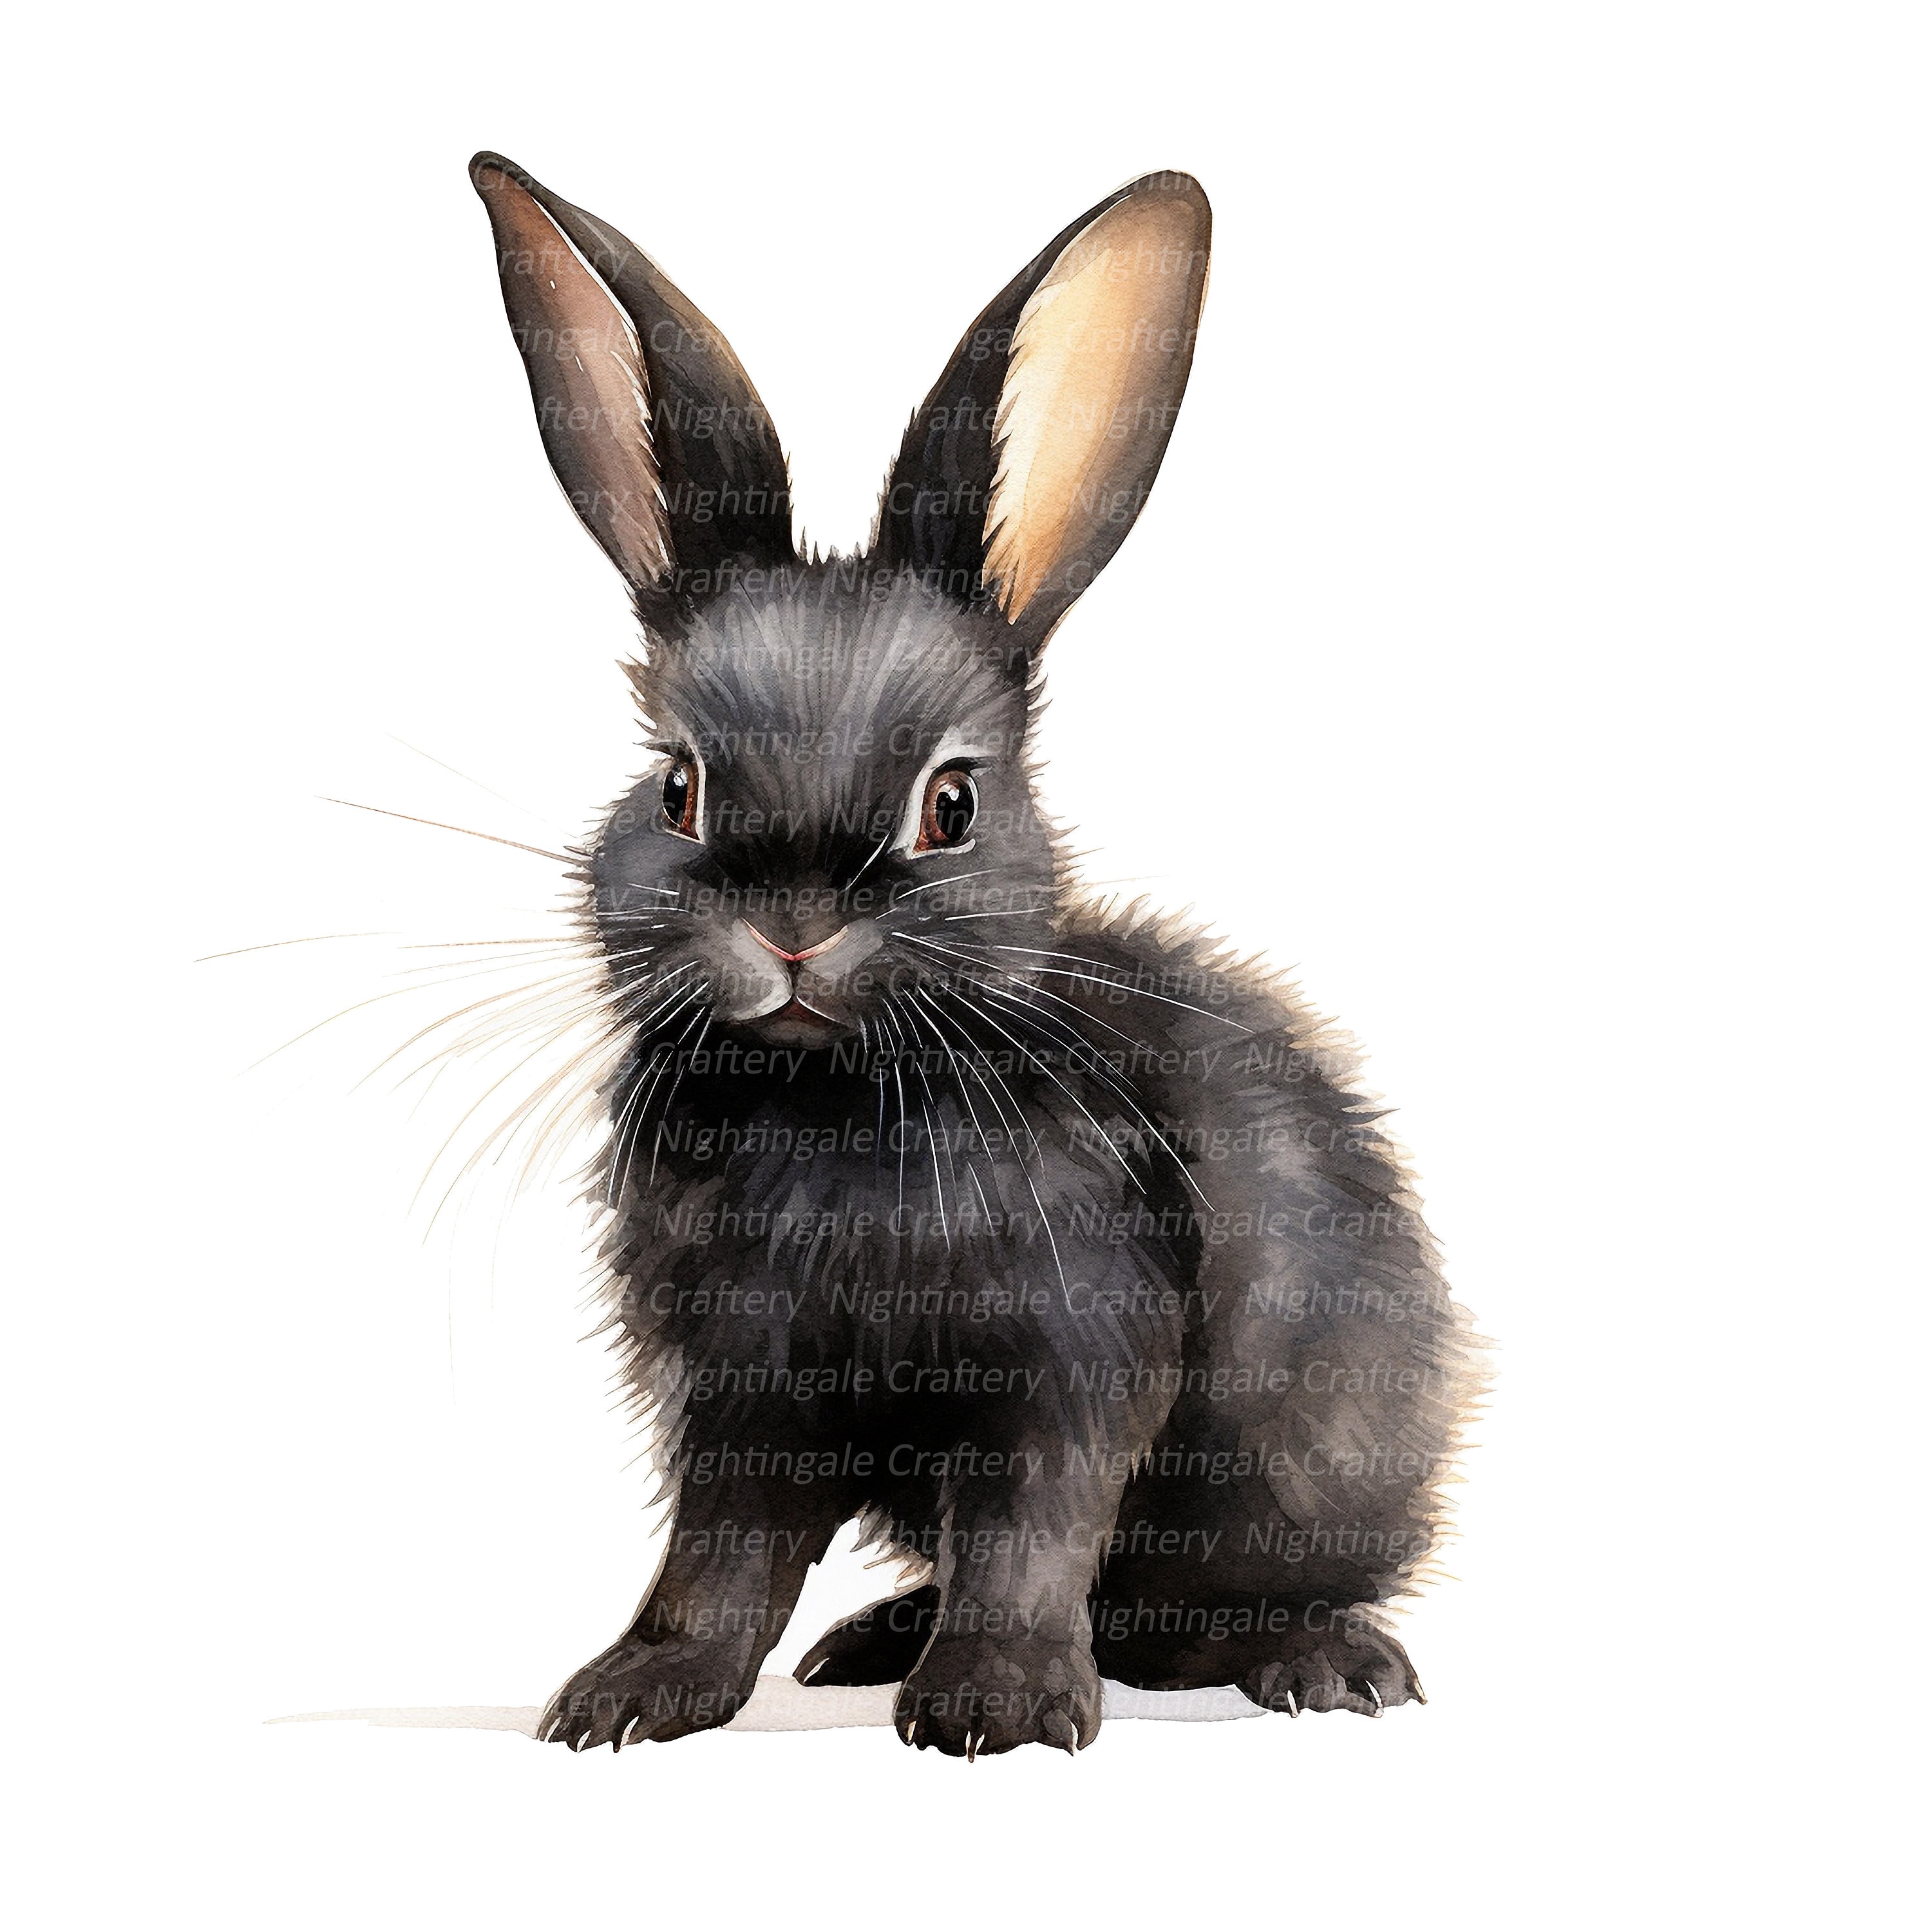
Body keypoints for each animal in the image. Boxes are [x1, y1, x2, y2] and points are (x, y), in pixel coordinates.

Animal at [468, 151, 1483, 1757]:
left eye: (951, 802)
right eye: (677, 788)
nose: (795, 926)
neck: (825, 1103)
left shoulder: (1062, 1363)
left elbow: (1029, 1530)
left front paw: (992, 1711)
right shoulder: (742, 1395)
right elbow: (719, 1555)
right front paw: (631, 1700)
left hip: (1299, 1472)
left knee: (1204, 1612)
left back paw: (1329, 1663)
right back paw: (869, 1639)